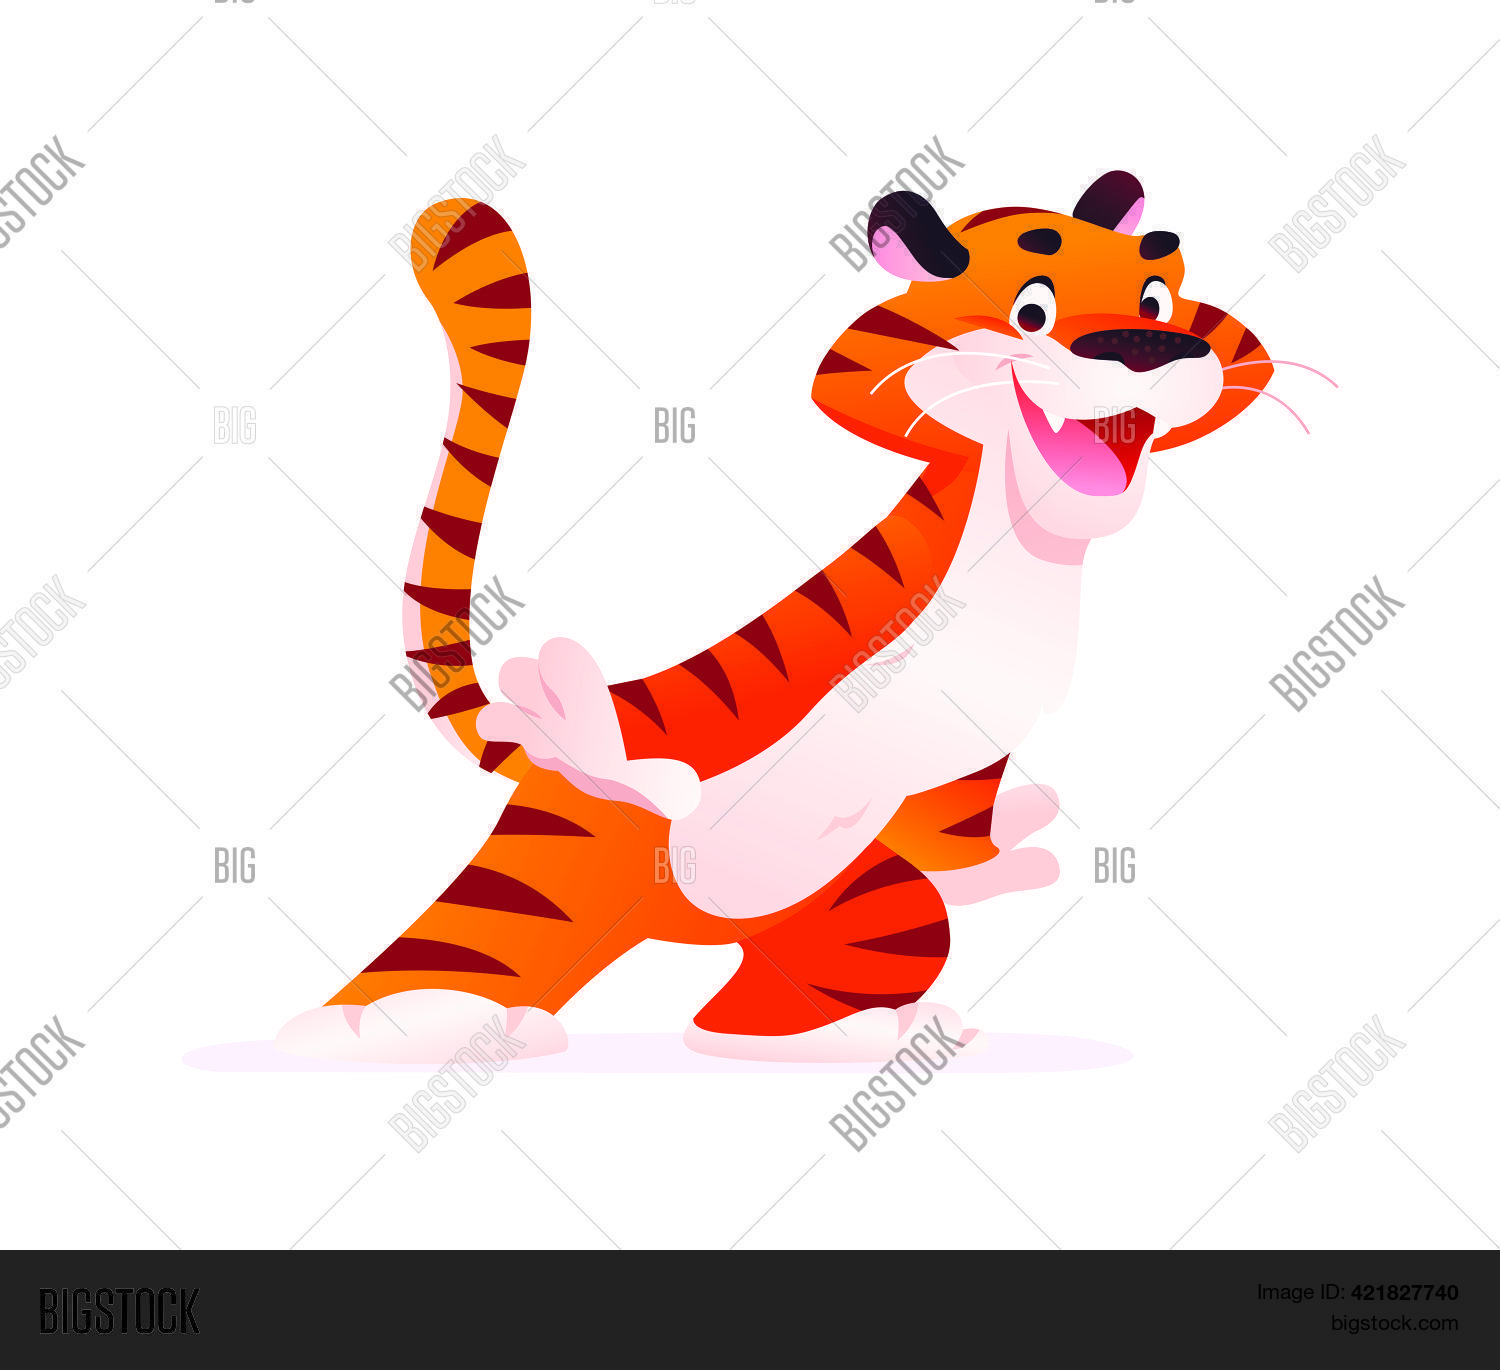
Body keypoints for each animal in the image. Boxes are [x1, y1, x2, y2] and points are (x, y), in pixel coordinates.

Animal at [275, 169, 1276, 1064]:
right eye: (1031, 312)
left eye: (1157, 294)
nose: (1147, 349)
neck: (1031, 546)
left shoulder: (968, 763)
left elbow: (961, 831)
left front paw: (1006, 857)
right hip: (545, 874)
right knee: (454, 961)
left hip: (857, 903)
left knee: (771, 995)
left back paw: (852, 1032)